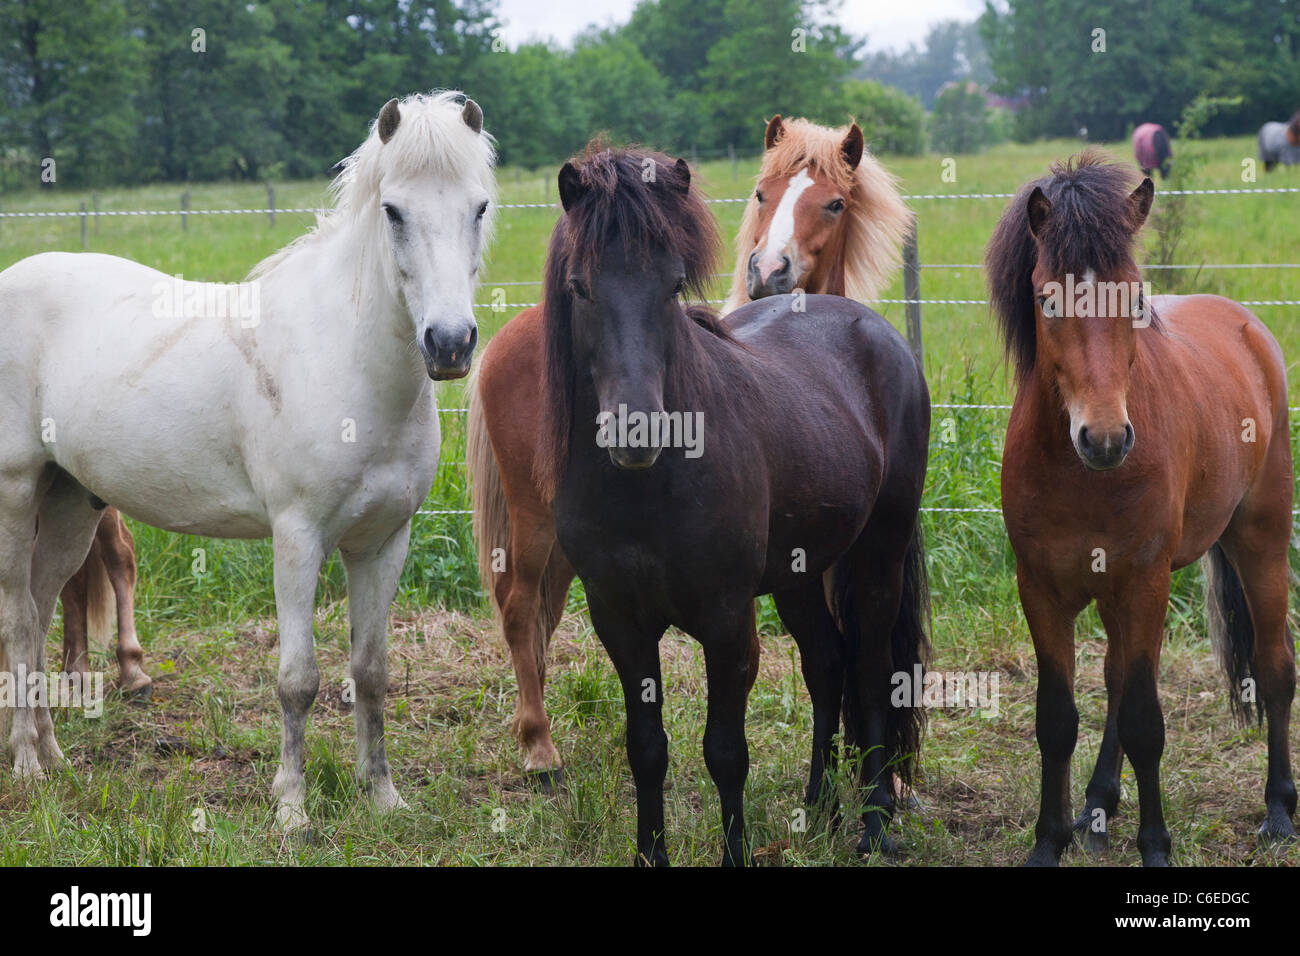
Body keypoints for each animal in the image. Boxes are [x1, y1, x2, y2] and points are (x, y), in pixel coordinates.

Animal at [0, 90, 496, 829]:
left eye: (480, 206)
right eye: (394, 210)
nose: (450, 344)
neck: (344, 362)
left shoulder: (383, 542)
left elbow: (371, 672)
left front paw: (382, 796)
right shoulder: (298, 537)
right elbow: (298, 680)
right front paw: (291, 808)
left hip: (70, 506)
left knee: (38, 609)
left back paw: (55, 758)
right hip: (15, 493)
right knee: (17, 617)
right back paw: (29, 766)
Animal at [467, 116, 912, 784]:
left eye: (835, 203)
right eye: (761, 193)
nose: (771, 271)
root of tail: (498, 344)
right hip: (532, 519)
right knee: (520, 608)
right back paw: (539, 748)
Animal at [986, 151, 1295, 866]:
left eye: (1133, 297)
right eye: (1047, 298)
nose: (1103, 438)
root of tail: (1248, 327)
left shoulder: (1146, 583)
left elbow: (1146, 723)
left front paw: (1156, 845)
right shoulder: (1042, 590)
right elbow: (1059, 718)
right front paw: (1049, 840)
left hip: (1260, 542)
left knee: (1275, 669)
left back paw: (1277, 810)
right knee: (1117, 678)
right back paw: (1097, 805)